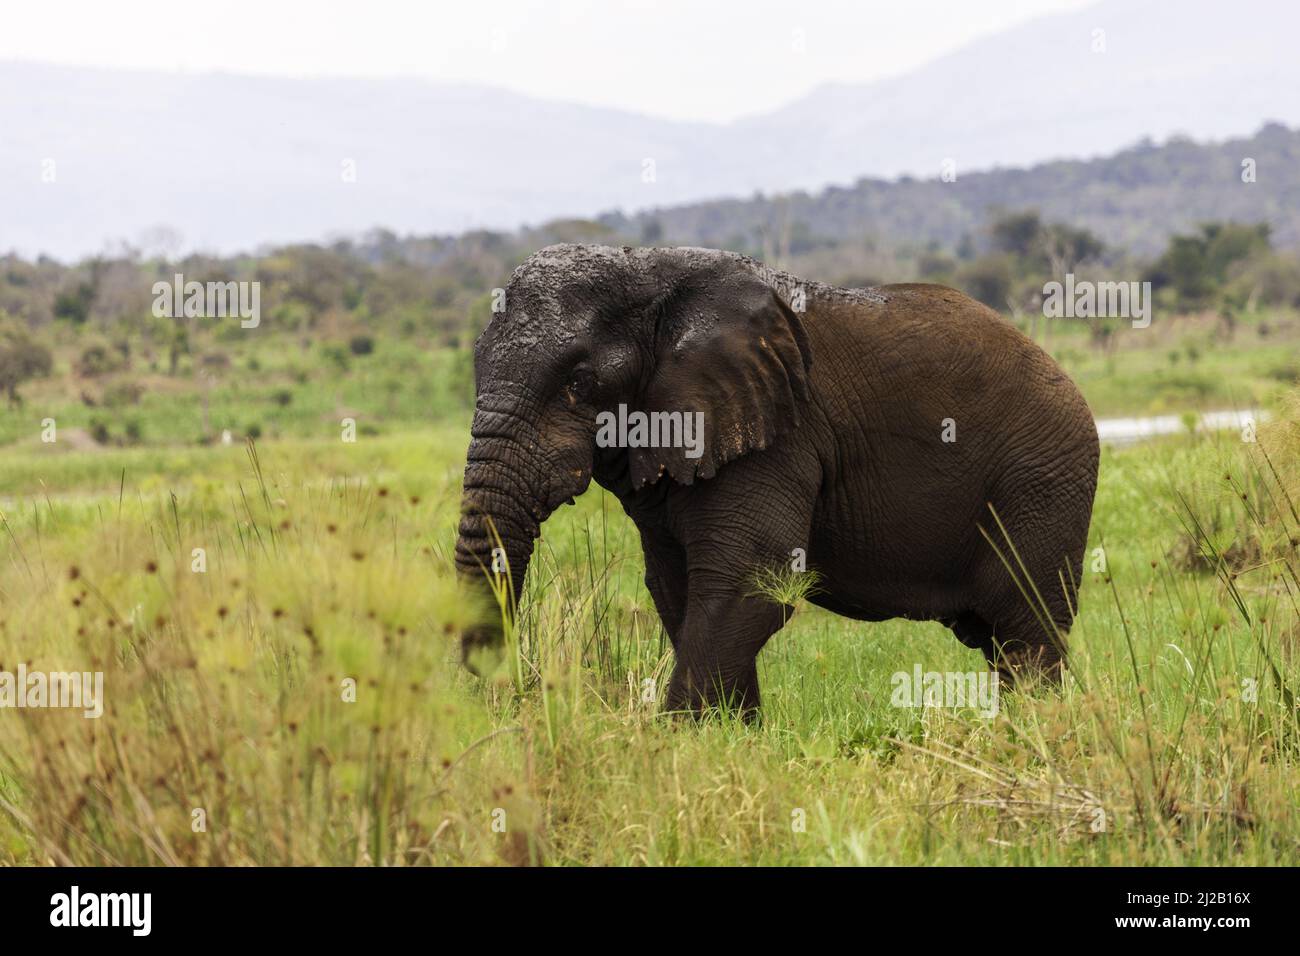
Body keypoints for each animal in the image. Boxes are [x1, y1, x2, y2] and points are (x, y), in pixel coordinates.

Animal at [454, 243, 1100, 716]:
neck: (649, 269)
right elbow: (678, 589)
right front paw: (732, 736)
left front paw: (681, 743)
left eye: (580, 383)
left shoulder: (779, 434)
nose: (494, 678)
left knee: (1026, 632)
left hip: (1043, 480)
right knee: (998, 639)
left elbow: (749, 582)